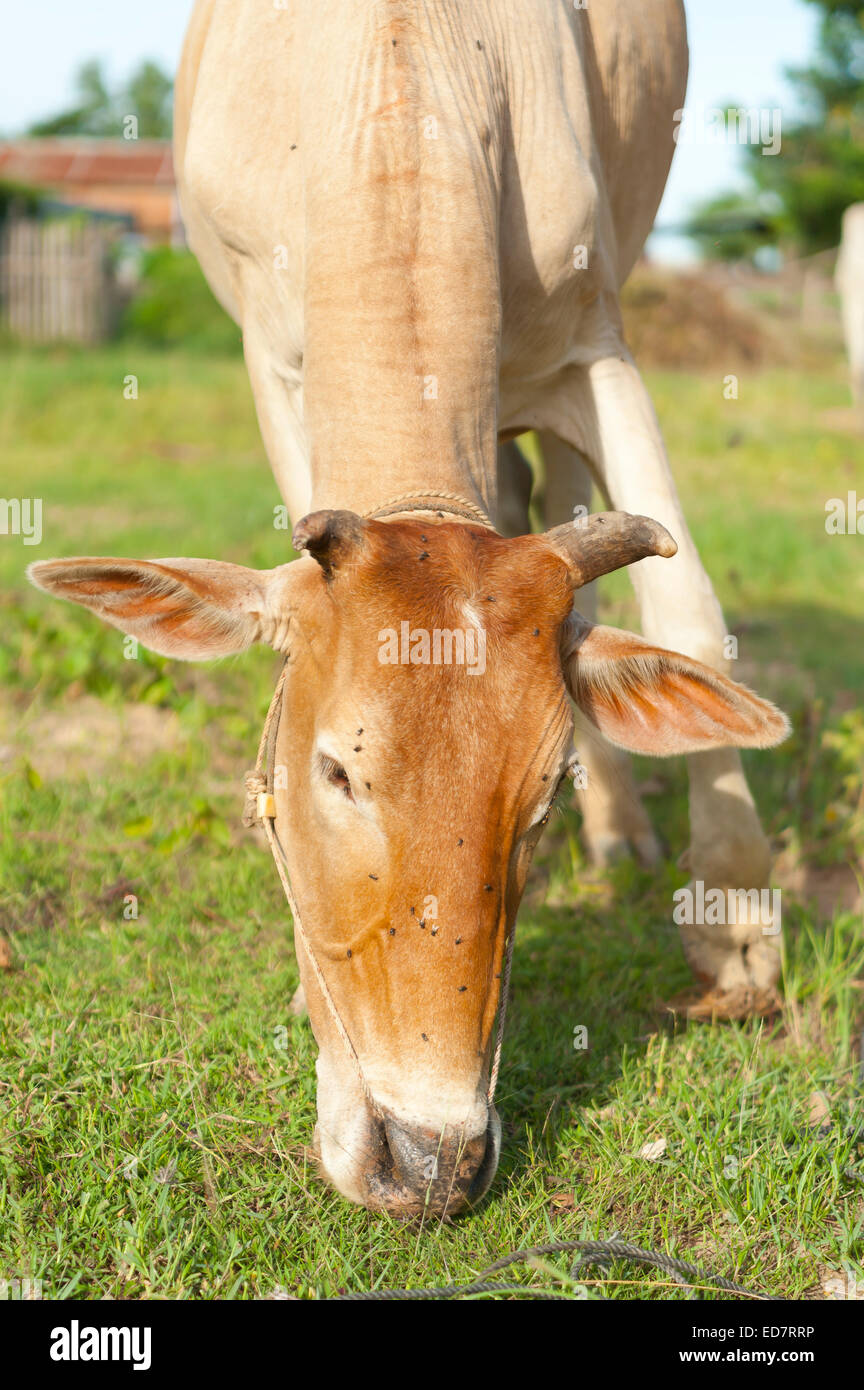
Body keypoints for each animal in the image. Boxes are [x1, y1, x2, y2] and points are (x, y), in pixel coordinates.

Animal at [29, 0, 789, 1216]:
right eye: (335, 772)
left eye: (541, 796)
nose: (430, 1160)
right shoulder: (273, 364)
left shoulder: (596, 338)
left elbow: (685, 603)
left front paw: (736, 926)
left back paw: (625, 833)